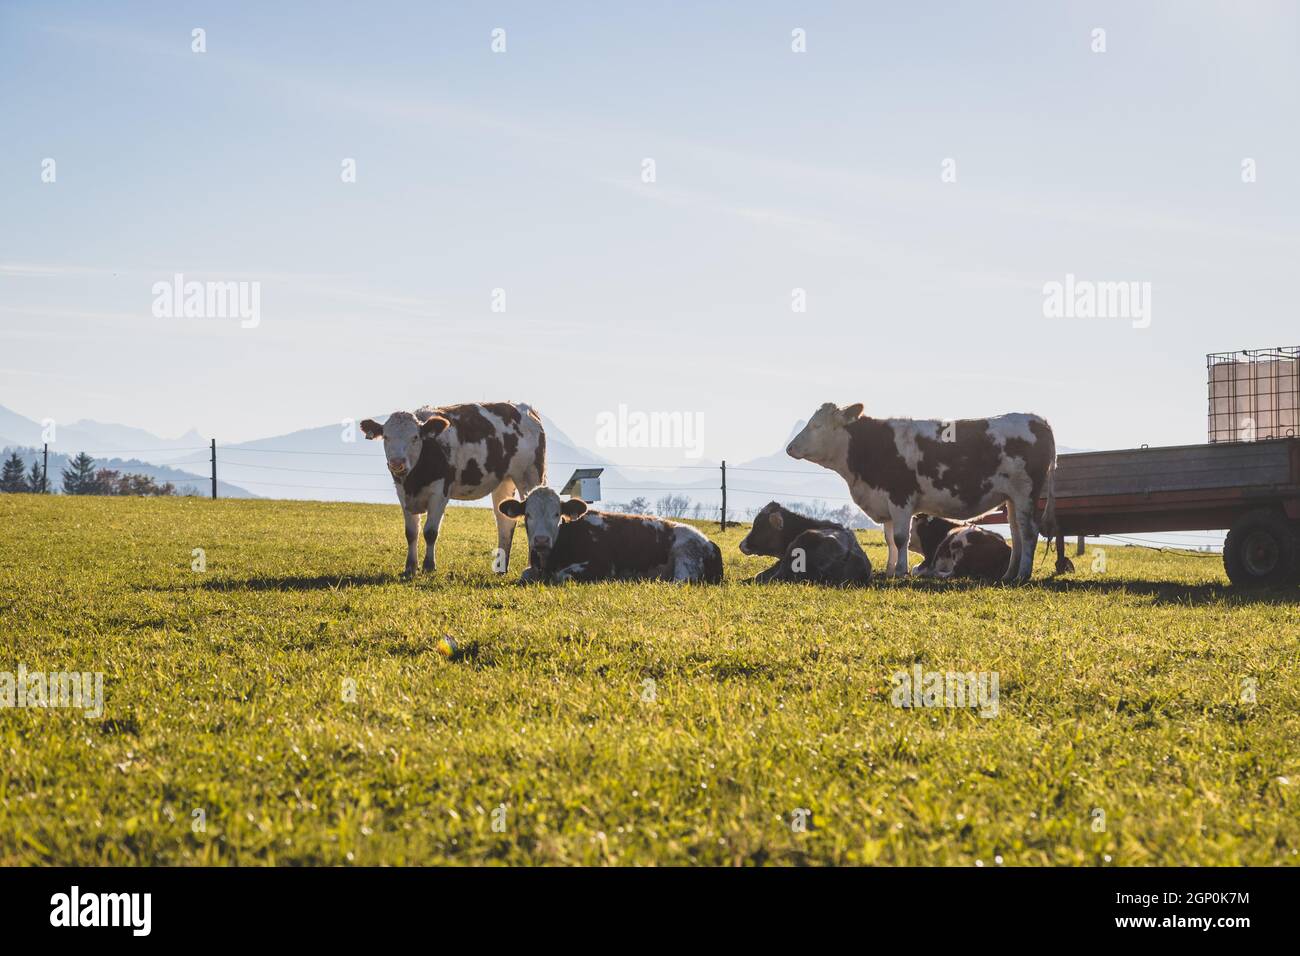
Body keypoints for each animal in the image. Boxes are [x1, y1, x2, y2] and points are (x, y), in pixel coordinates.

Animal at [360, 402, 545, 577]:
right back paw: (501, 567)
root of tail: (526, 410)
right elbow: (411, 532)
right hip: (504, 482)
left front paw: (429, 566)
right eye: (386, 437)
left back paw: (533, 567)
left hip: (530, 476)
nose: (397, 463)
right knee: (505, 522)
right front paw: (410, 567)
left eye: (415, 437)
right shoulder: (403, 494)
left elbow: (430, 532)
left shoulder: (440, 493)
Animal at [497, 486, 723, 584]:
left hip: (686, 558)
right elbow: (525, 575)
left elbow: (562, 576)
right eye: (528, 514)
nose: (541, 540)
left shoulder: (602, 565)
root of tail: (708, 541)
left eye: (557, 514)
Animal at [786, 403, 1057, 582]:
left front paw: (901, 572)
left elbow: (899, 538)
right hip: (1012, 499)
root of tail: (1038, 420)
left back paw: (1023, 574)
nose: (789, 448)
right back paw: (1009, 574)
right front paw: (890, 570)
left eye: (816, 425)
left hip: (1026, 493)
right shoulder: (885, 501)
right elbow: (889, 539)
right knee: (1017, 535)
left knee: (1029, 533)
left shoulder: (900, 497)